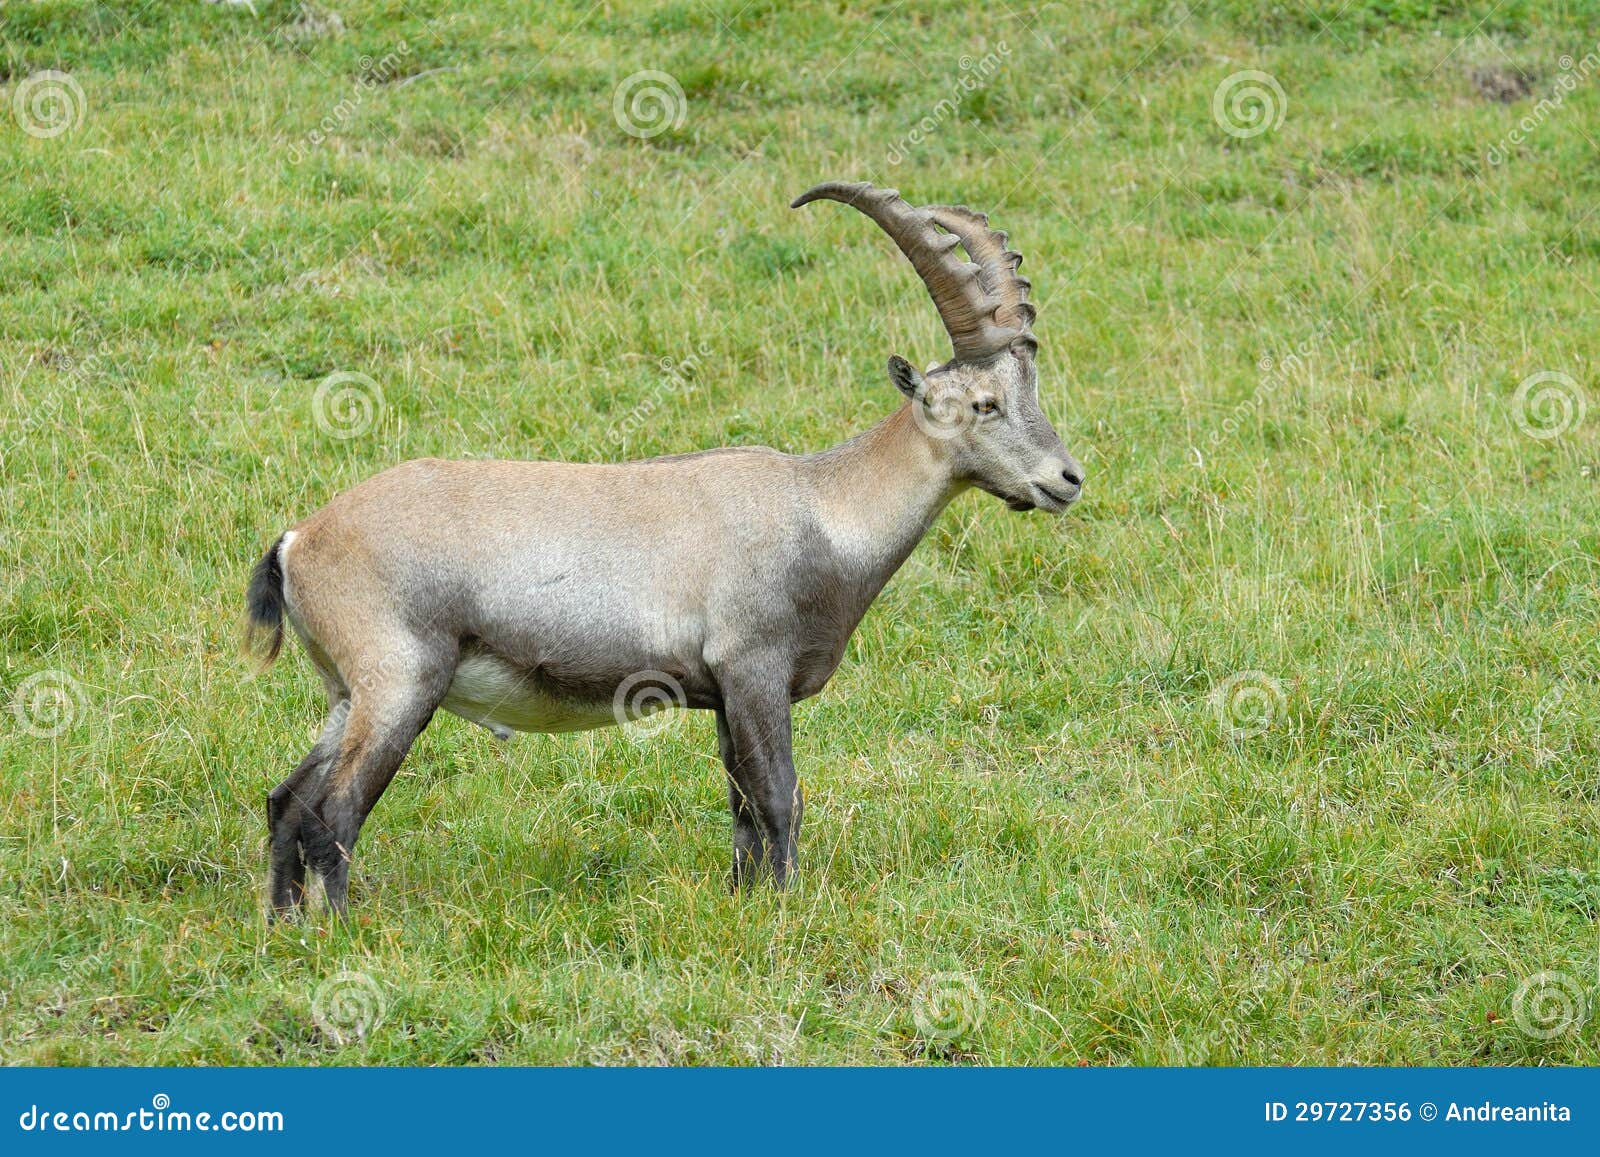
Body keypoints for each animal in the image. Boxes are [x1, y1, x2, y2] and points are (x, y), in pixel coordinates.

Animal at [245, 181, 1085, 917]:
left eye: (1031, 391)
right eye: (986, 403)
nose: (1066, 479)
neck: (821, 507)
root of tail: (301, 539)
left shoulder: (722, 694)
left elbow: (743, 808)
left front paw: (743, 902)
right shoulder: (753, 666)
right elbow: (779, 796)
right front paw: (786, 911)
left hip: (347, 690)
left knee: (287, 800)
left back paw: (284, 926)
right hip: (398, 681)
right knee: (334, 811)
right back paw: (344, 929)